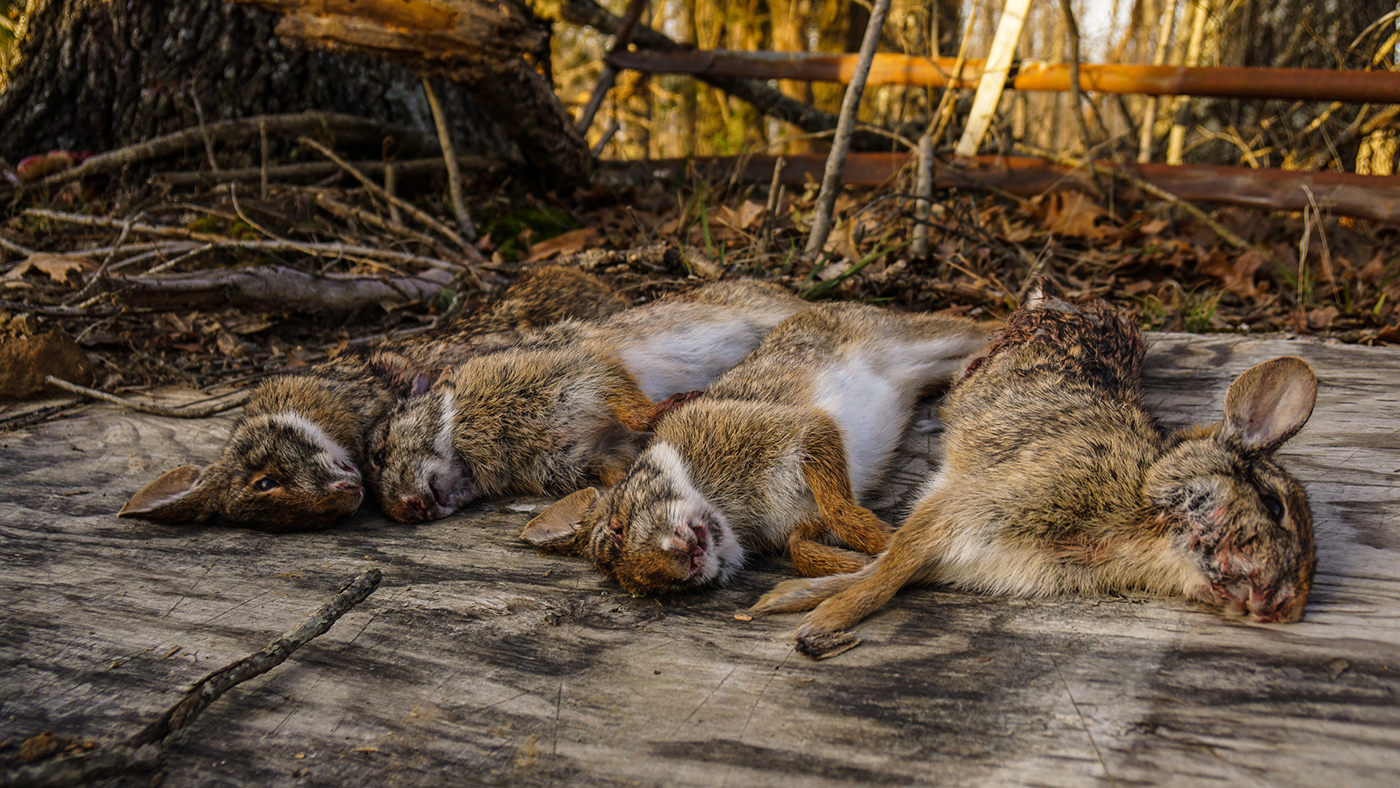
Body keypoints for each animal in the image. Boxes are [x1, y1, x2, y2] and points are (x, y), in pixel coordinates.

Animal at [371, 280, 808, 523]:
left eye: (379, 451)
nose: (407, 510)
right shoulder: (591, 454)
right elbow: (620, 463)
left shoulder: (585, 374)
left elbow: (632, 405)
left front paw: (678, 402)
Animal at [518, 302, 996, 595]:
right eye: (645, 584)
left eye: (618, 529)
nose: (686, 562)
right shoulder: (803, 523)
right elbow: (802, 552)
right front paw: (867, 559)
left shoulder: (803, 433)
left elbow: (842, 508)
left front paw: (886, 541)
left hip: (911, 336)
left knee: (969, 330)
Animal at [750, 278, 1319, 659]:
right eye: (1274, 506)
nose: (1286, 608)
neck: (1142, 502)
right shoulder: (960, 510)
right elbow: (884, 574)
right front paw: (811, 615)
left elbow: (882, 569)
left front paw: (792, 603)